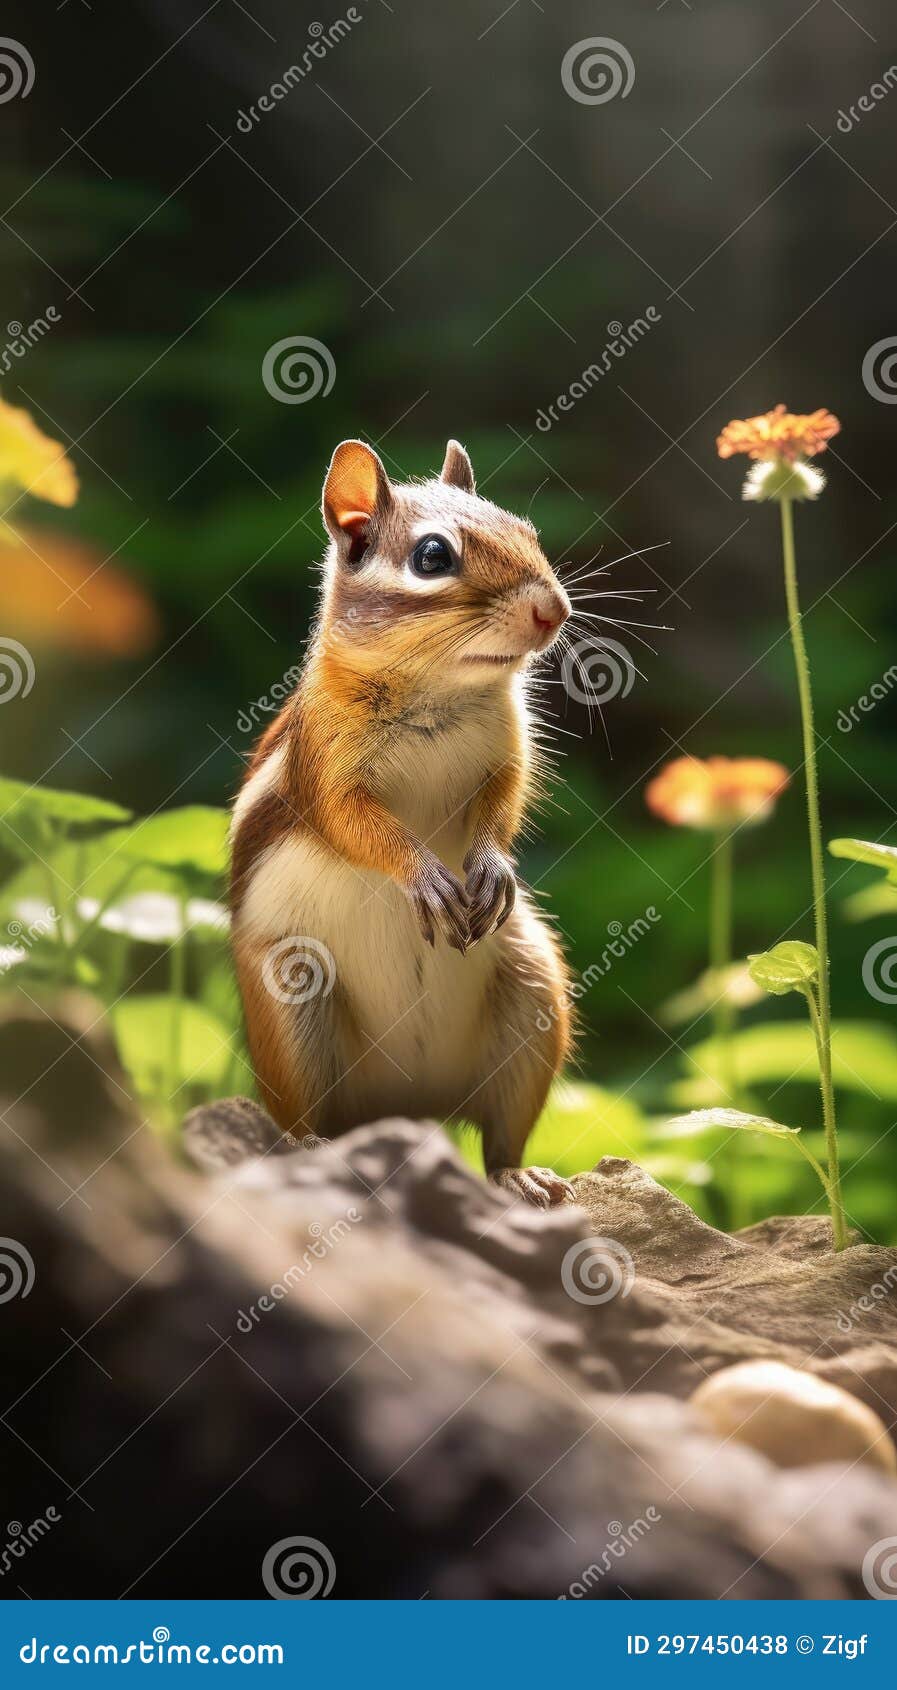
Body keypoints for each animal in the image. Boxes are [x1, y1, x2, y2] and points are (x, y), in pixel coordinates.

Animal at [230, 438, 574, 1207]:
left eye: (528, 530)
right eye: (433, 557)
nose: (554, 611)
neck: (437, 686)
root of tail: (406, 1104)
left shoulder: (506, 753)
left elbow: (503, 802)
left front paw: (490, 866)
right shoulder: (326, 767)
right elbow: (358, 825)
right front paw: (426, 877)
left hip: (534, 987)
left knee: (501, 1134)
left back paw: (519, 1177)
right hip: (290, 999)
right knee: (304, 1123)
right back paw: (318, 1155)